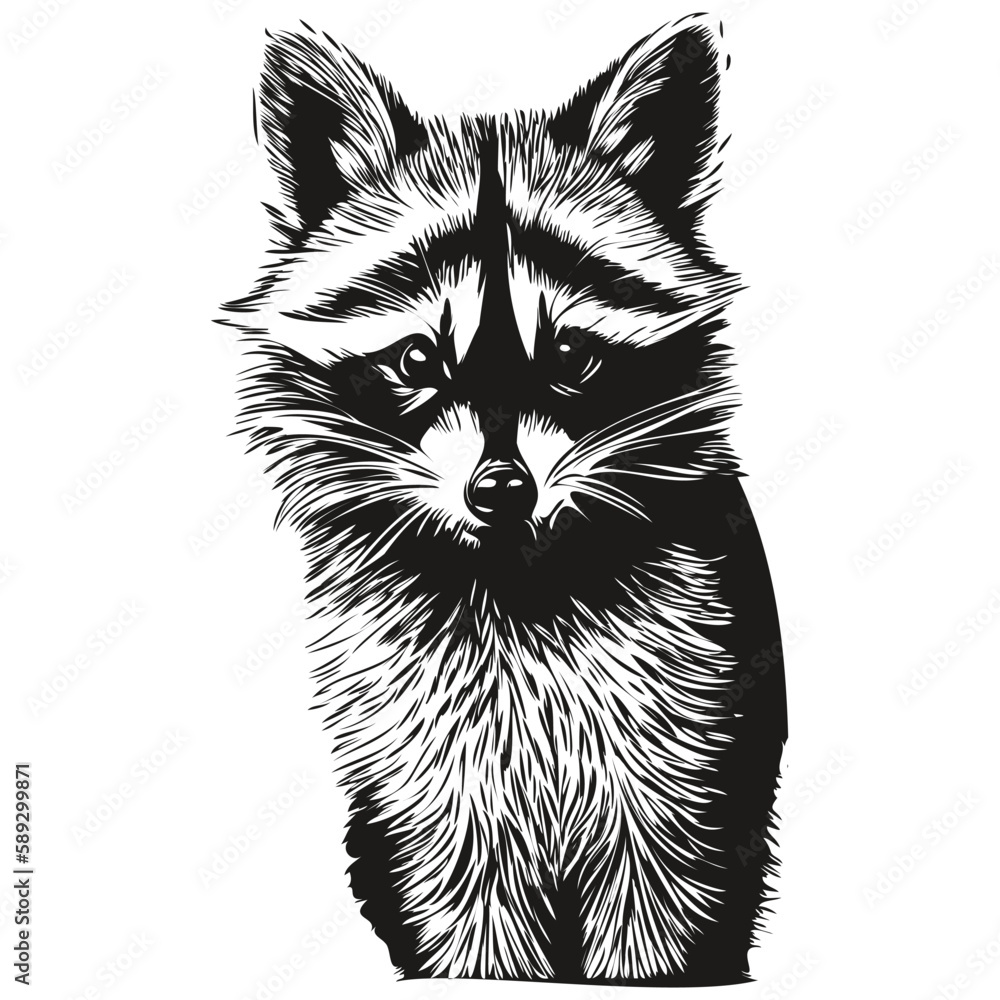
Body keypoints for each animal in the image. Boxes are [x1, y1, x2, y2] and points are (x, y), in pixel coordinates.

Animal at [220, 15, 787, 986]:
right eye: (417, 359)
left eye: (569, 356)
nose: (501, 489)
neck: (511, 576)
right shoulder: (423, 758)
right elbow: (463, 905)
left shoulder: (684, 712)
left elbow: (663, 895)